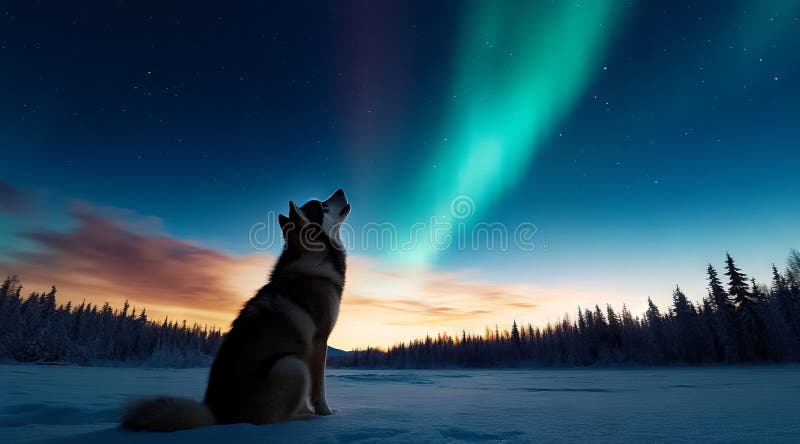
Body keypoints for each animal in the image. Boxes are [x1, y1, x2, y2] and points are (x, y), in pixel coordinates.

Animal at [121, 189, 350, 431]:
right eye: (323, 205)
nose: (340, 190)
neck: (313, 261)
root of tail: (218, 414)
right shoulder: (319, 343)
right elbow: (319, 391)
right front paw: (326, 416)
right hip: (291, 366)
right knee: (270, 420)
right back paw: (301, 419)